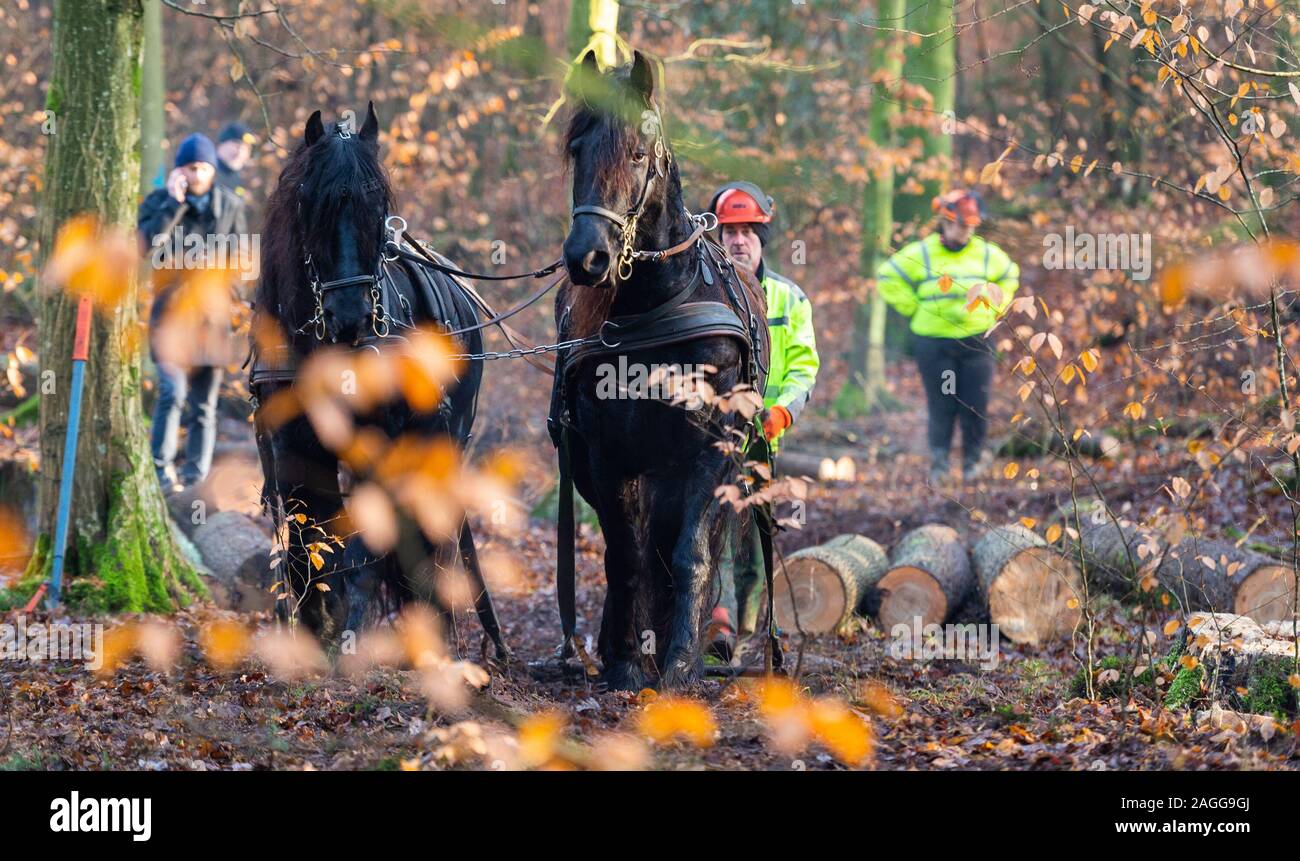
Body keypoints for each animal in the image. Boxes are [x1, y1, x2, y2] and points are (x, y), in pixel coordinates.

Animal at [250, 103, 506, 659]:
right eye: (312, 205)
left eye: (379, 206)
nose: (351, 317)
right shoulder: (294, 445)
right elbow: (306, 536)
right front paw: (316, 625)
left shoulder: (385, 443)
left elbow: (368, 543)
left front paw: (350, 631)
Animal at [550, 52, 770, 690]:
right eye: (578, 149)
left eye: (636, 153)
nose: (586, 258)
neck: (660, 302)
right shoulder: (607, 454)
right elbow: (625, 557)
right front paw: (625, 663)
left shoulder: (713, 449)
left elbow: (689, 554)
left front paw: (678, 665)